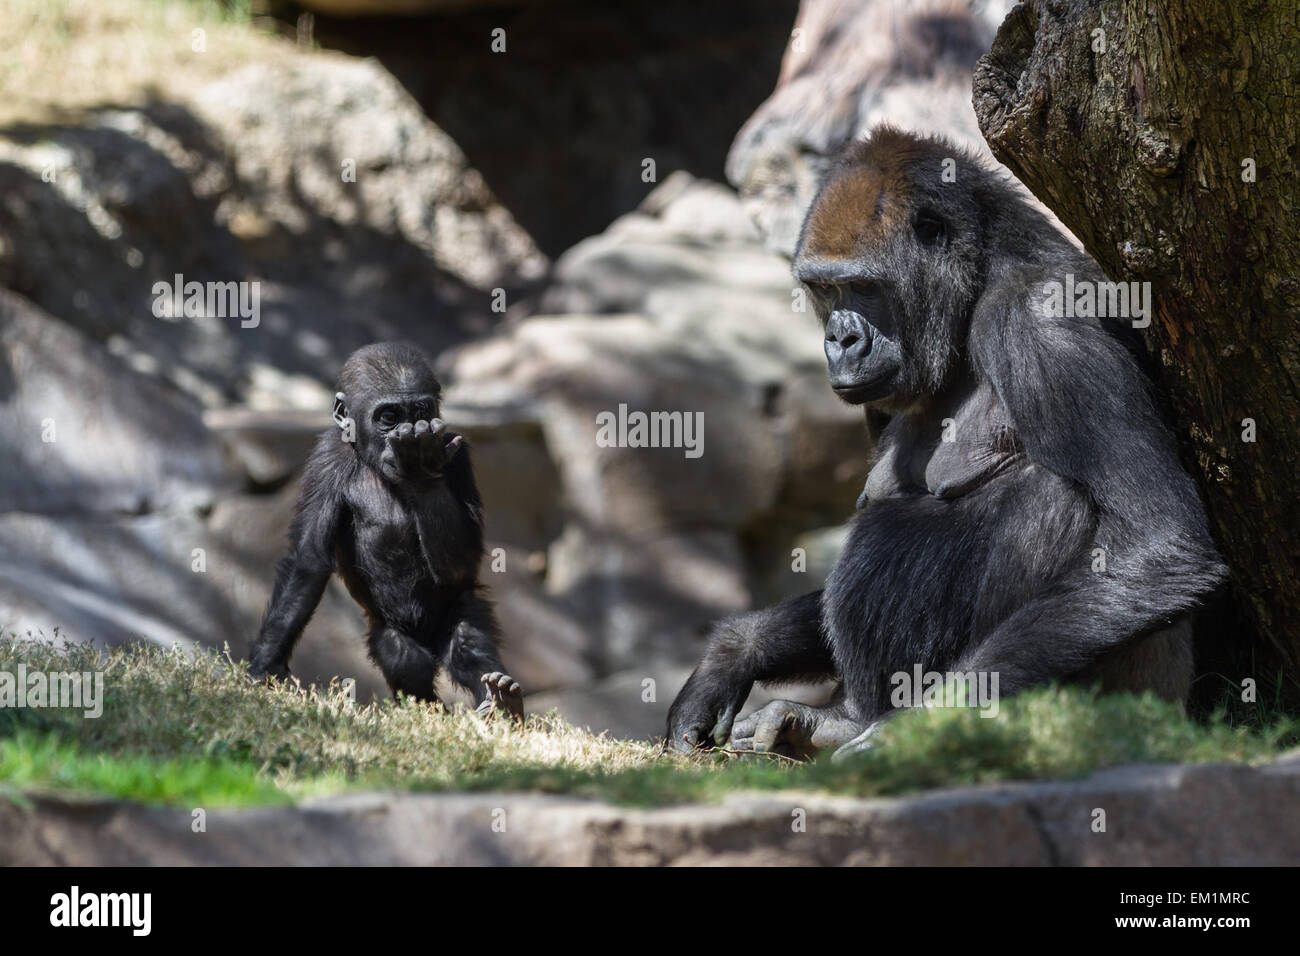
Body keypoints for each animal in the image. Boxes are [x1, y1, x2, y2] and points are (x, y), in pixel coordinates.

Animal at [248, 342, 523, 719]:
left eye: (420, 411)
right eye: (389, 417)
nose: (407, 434)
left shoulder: (458, 452)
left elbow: (463, 562)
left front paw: (423, 472)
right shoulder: (326, 458)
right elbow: (308, 560)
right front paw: (266, 666)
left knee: (467, 634)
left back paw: (500, 701)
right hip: (390, 629)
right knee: (403, 655)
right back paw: (429, 708)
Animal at [667, 126, 1226, 759]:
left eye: (864, 287)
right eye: (825, 289)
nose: (840, 340)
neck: (976, 285)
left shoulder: (1046, 322)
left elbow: (1162, 546)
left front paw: (918, 728)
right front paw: (734, 652)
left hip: (1147, 700)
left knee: (1060, 499)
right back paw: (839, 719)